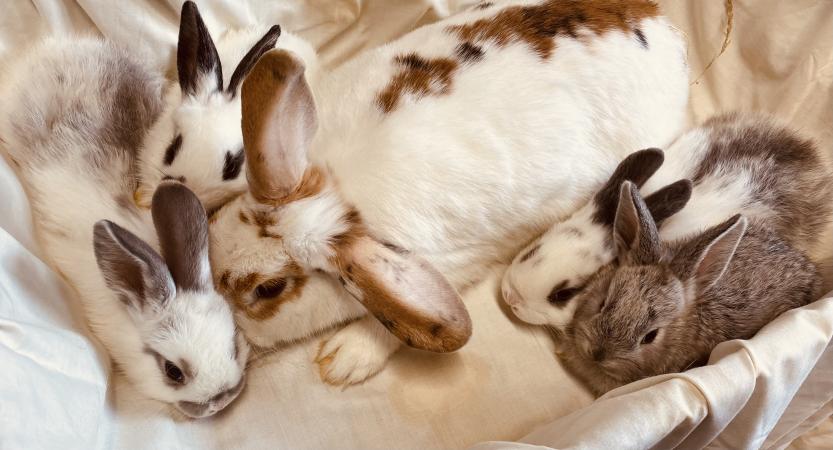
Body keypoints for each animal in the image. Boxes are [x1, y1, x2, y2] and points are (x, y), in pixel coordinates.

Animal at [207, 0, 691, 386]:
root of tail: (664, 30)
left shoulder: (450, 267)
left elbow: (391, 321)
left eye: (269, 290)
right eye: (213, 226)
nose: (234, 327)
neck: (341, 195)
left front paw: (342, 360)